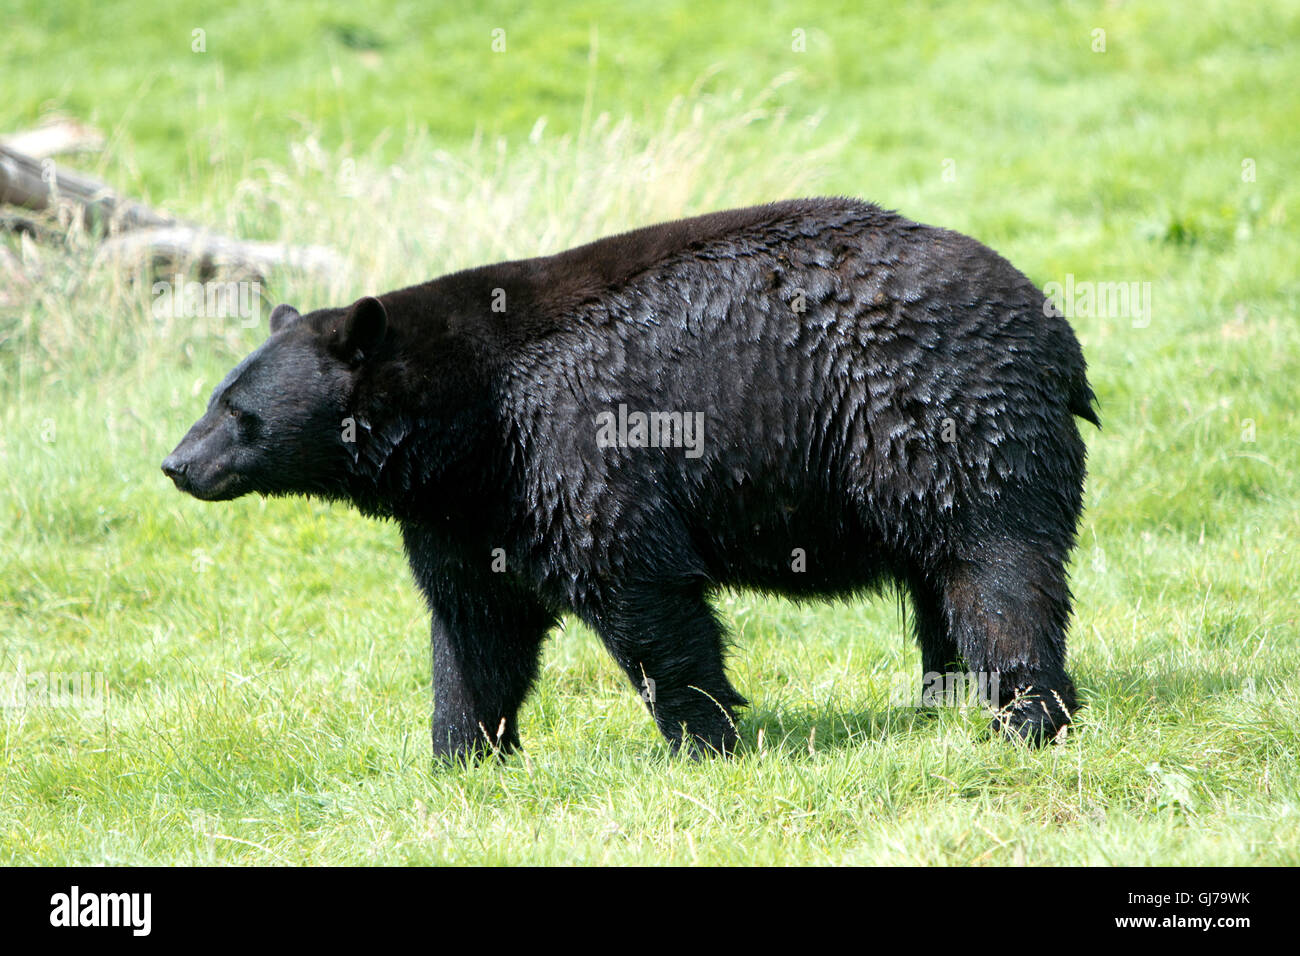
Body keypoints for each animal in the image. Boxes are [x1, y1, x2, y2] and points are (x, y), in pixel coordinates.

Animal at [162, 197, 1099, 761]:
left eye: (237, 411)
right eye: (215, 395)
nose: (175, 463)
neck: (472, 416)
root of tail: (1055, 329)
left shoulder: (570, 447)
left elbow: (639, 589)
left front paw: (704, 738)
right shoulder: (473, 510)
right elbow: (475, 627)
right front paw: (463, 756)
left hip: (943, 418)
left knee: (995, 568)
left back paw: (1028, 714)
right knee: (940, 577)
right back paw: (944, 699)